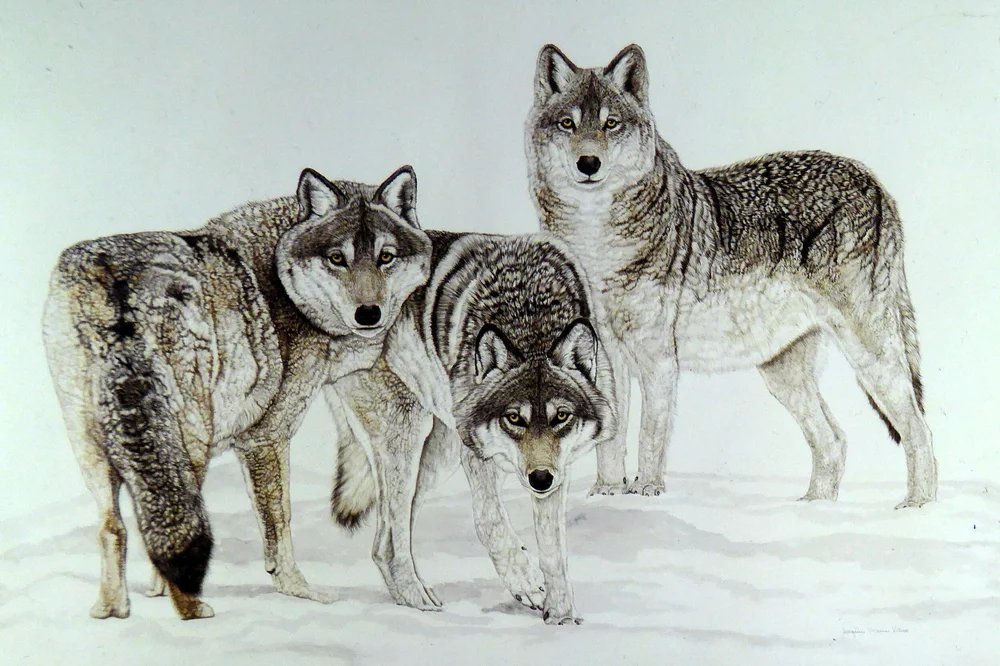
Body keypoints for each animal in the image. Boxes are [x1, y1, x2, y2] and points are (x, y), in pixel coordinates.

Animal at [42, 165, 432, 619]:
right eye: (338, 258)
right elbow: (280, 526)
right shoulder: (266, 437)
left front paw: (155, 590)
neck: (284, 286)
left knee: (112, 525)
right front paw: (299, 591)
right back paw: (192, 611)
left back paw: (112, 610)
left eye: (386, 257)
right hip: (188, 436)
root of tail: (115, 281)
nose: (368, 314)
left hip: (94, 444)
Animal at [325, 232, 616, 624]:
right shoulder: (475, 452)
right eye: (514, 418)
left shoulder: (558, 468)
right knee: (388, 543)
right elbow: (490, 521)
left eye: (561, 417)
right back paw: (421, 607)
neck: (530, 315)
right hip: (412, 435)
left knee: (385, 537)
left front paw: (561, 618)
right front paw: (526, 581)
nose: (540, 478)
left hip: (434, 458)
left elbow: (554, 551)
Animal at [525, 43, 936, 508]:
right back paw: (814, 507)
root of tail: (875, 184)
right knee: (834, 439)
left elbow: (650, 437)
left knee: (919, 429)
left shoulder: (658, 361)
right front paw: (609, 494)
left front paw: (647, 494)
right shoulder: (607, 361)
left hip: (870, 355)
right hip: (783, 377)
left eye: (611, 124)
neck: (597, 245)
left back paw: (917, 508)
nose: (588, 163)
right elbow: (610, 438)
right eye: (568, 124)